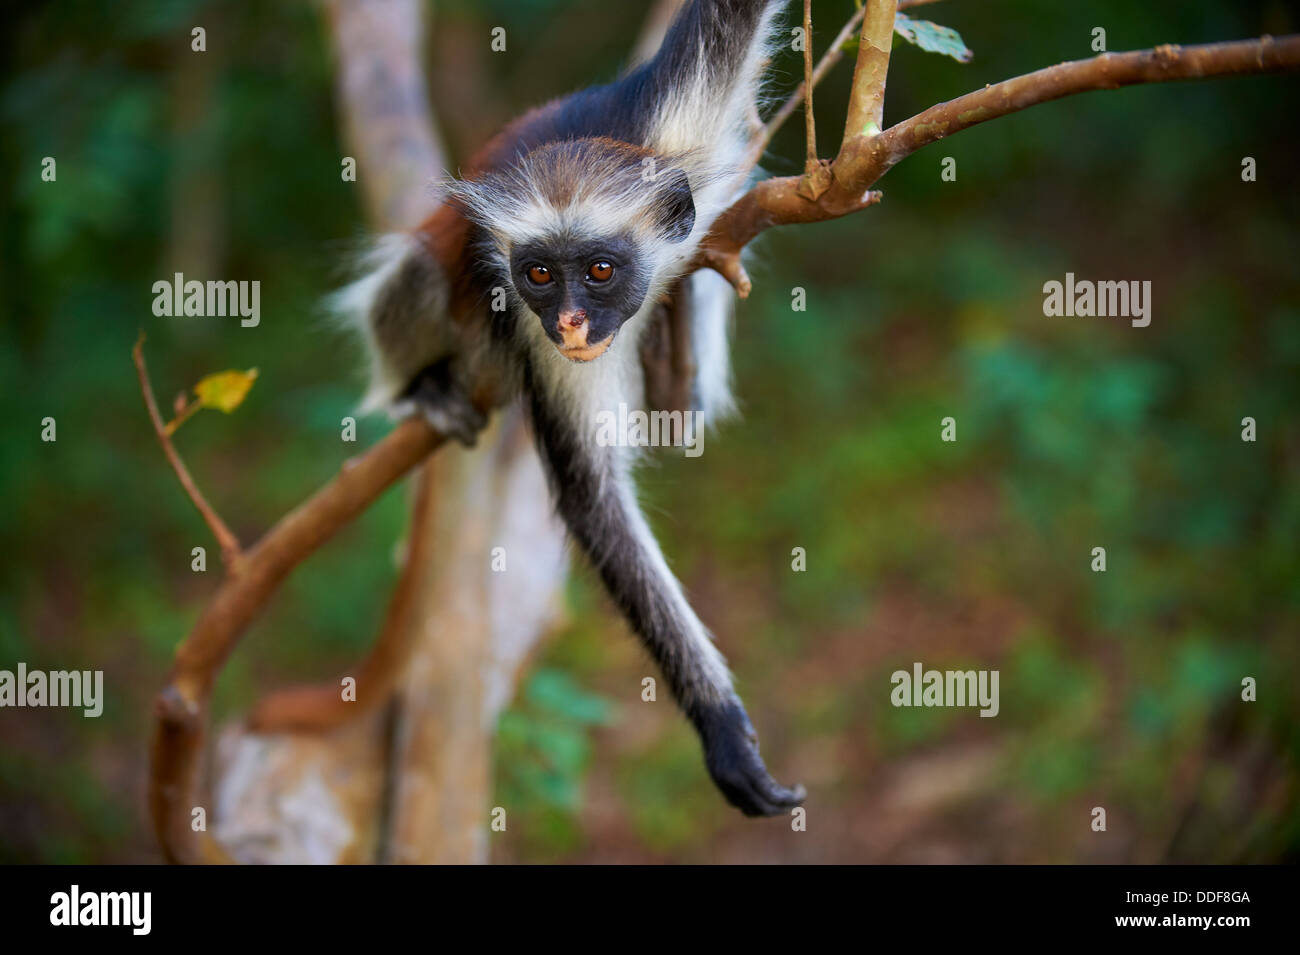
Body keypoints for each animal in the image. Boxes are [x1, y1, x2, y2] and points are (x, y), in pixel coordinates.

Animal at [337, 0, 805, 817]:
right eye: (539, 276)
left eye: (600, 270)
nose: (572, 325)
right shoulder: (524, 317)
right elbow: (592, 496)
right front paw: (719, 726)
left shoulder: (675, 122)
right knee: (422, 273)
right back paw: (428, 388)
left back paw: (675, 371)